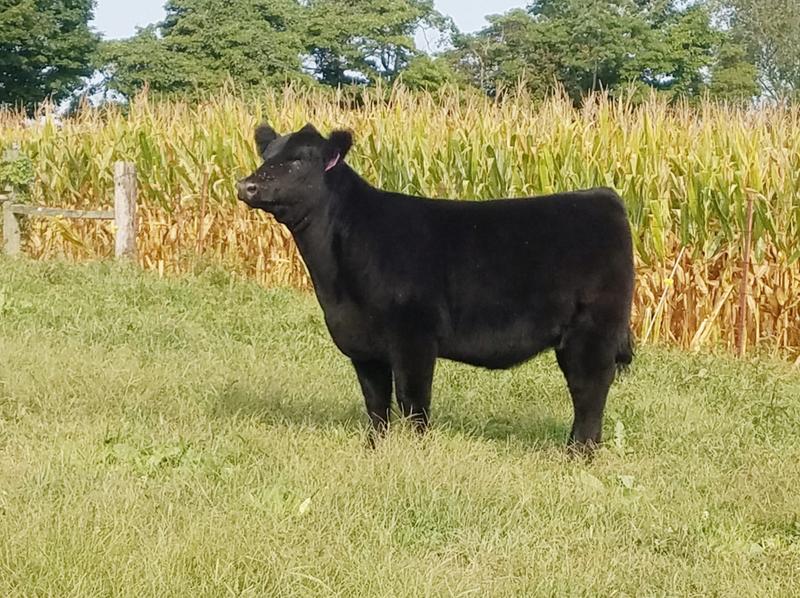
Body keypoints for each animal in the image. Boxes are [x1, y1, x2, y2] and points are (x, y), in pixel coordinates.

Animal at [237, 123, 634, 453]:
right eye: (267, 155)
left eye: (298, 160)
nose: (246, 185)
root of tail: (604, 197)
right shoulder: (363, 344)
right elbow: (376, 403)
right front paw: (374, 449)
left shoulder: (414, 338)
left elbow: (413, 402)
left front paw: (417, 452)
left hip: (592, 333)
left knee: (589, 391)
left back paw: (579, 454)